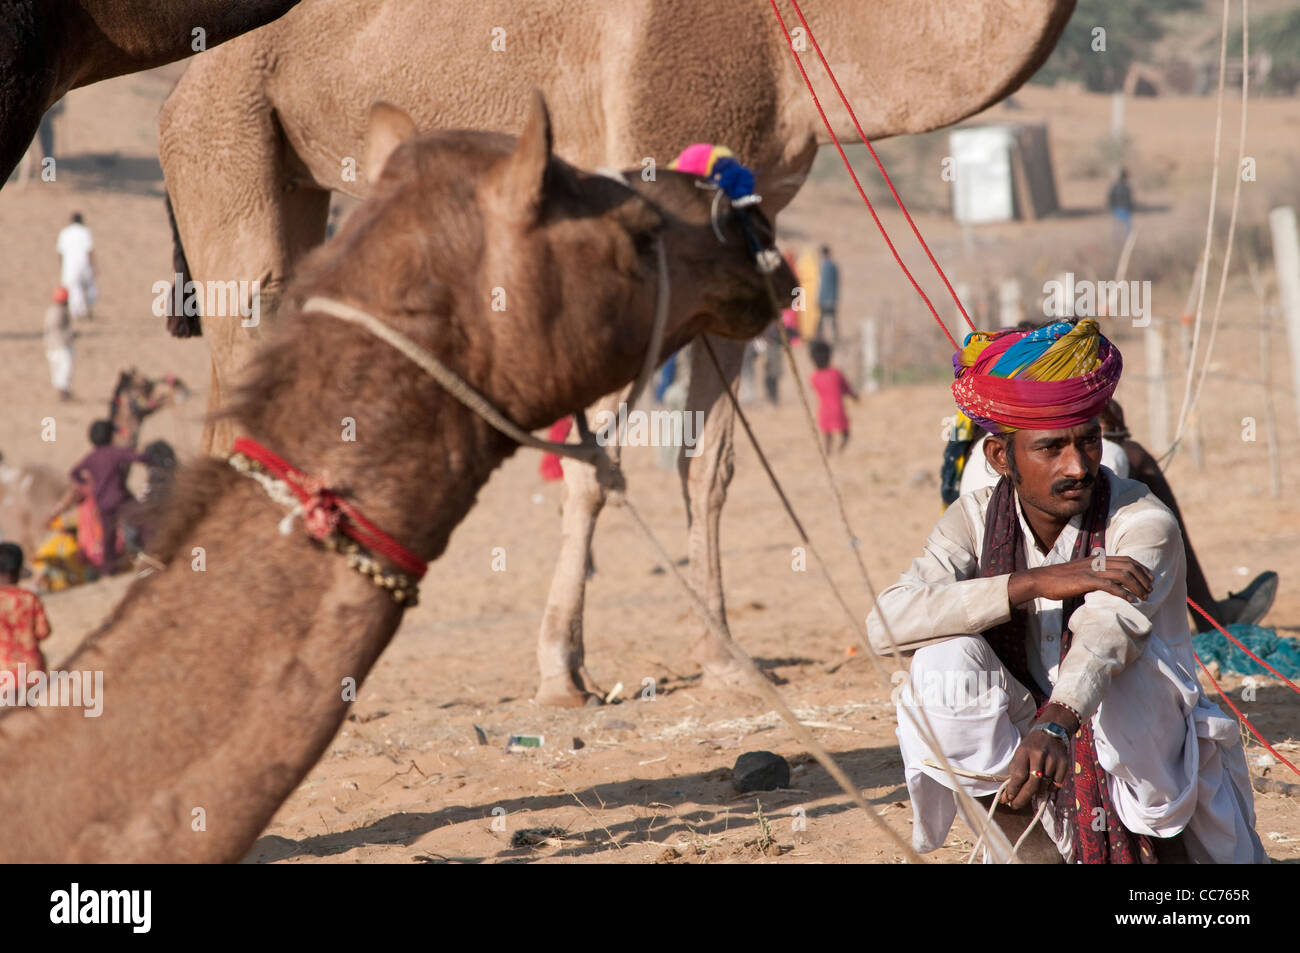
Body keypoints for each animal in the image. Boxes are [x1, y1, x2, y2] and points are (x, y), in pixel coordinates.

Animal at [157, 0, 1076, 706]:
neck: (788, 33)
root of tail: (179, 84)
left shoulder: (745, 231)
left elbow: (708, 462)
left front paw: (728, 661)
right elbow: (597, 463)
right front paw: (560, 672)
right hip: (225, 144)